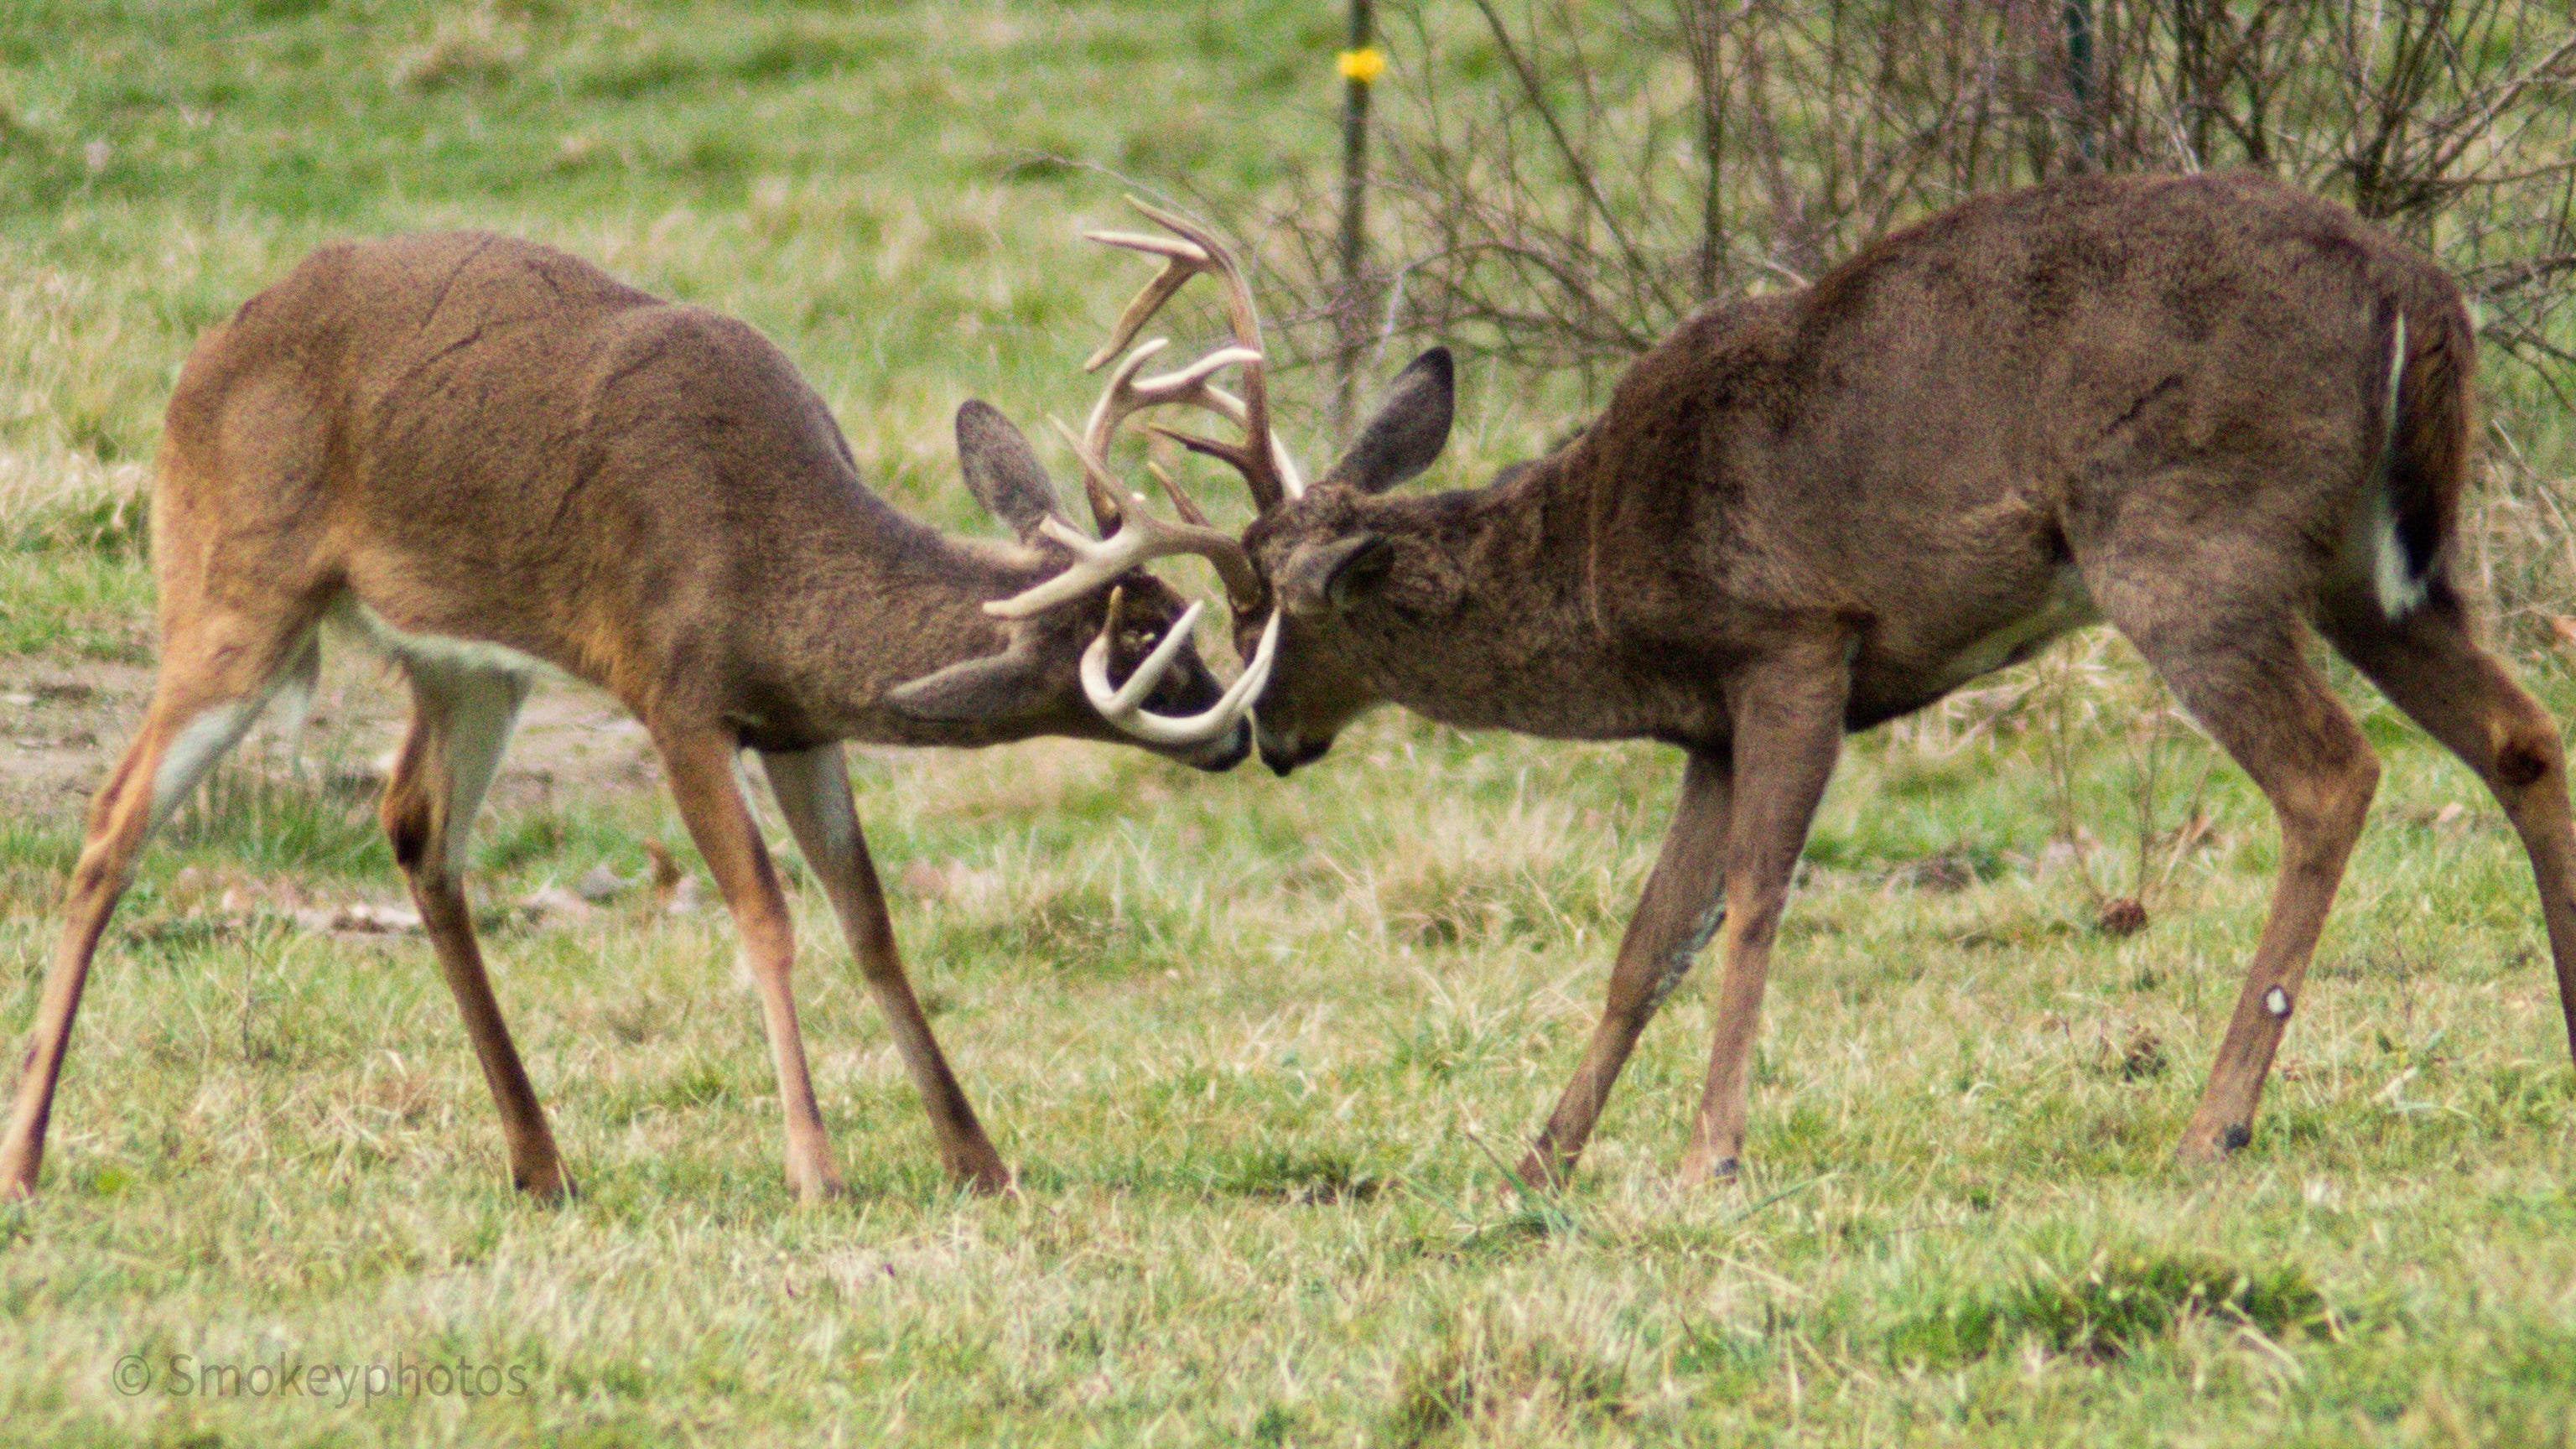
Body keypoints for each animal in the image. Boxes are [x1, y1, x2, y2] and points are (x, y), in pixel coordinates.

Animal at [0, 230, 1285, 1203]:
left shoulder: (799, 722)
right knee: (113, 821)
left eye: (1173, 615)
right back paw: (25, 1158)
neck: (772, 558)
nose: (1240, 733)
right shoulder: (674, 690)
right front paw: (815, 1168)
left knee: (417, 827)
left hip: (469, 664)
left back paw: (541, 1162)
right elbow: (763, 909)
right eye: (1141, 642)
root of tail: (203, 356)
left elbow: (867, 917)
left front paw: (979, 1158)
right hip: (233, 585)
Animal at [1081, 174, 2576, 1185]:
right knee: (2522, 734)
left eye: (1258, 607)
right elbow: (1646, 943)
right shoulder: (1707, 725)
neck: (1607, 571)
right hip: (2378, 568)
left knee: (2333, 774)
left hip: (2185, 539)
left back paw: (2215, 1125)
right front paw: (1542, 1158)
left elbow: (1752, 903)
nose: (1265, 739)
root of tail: (2420, 295)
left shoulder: (1794, 638)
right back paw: (2561, 1028)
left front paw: (1710, 1155)